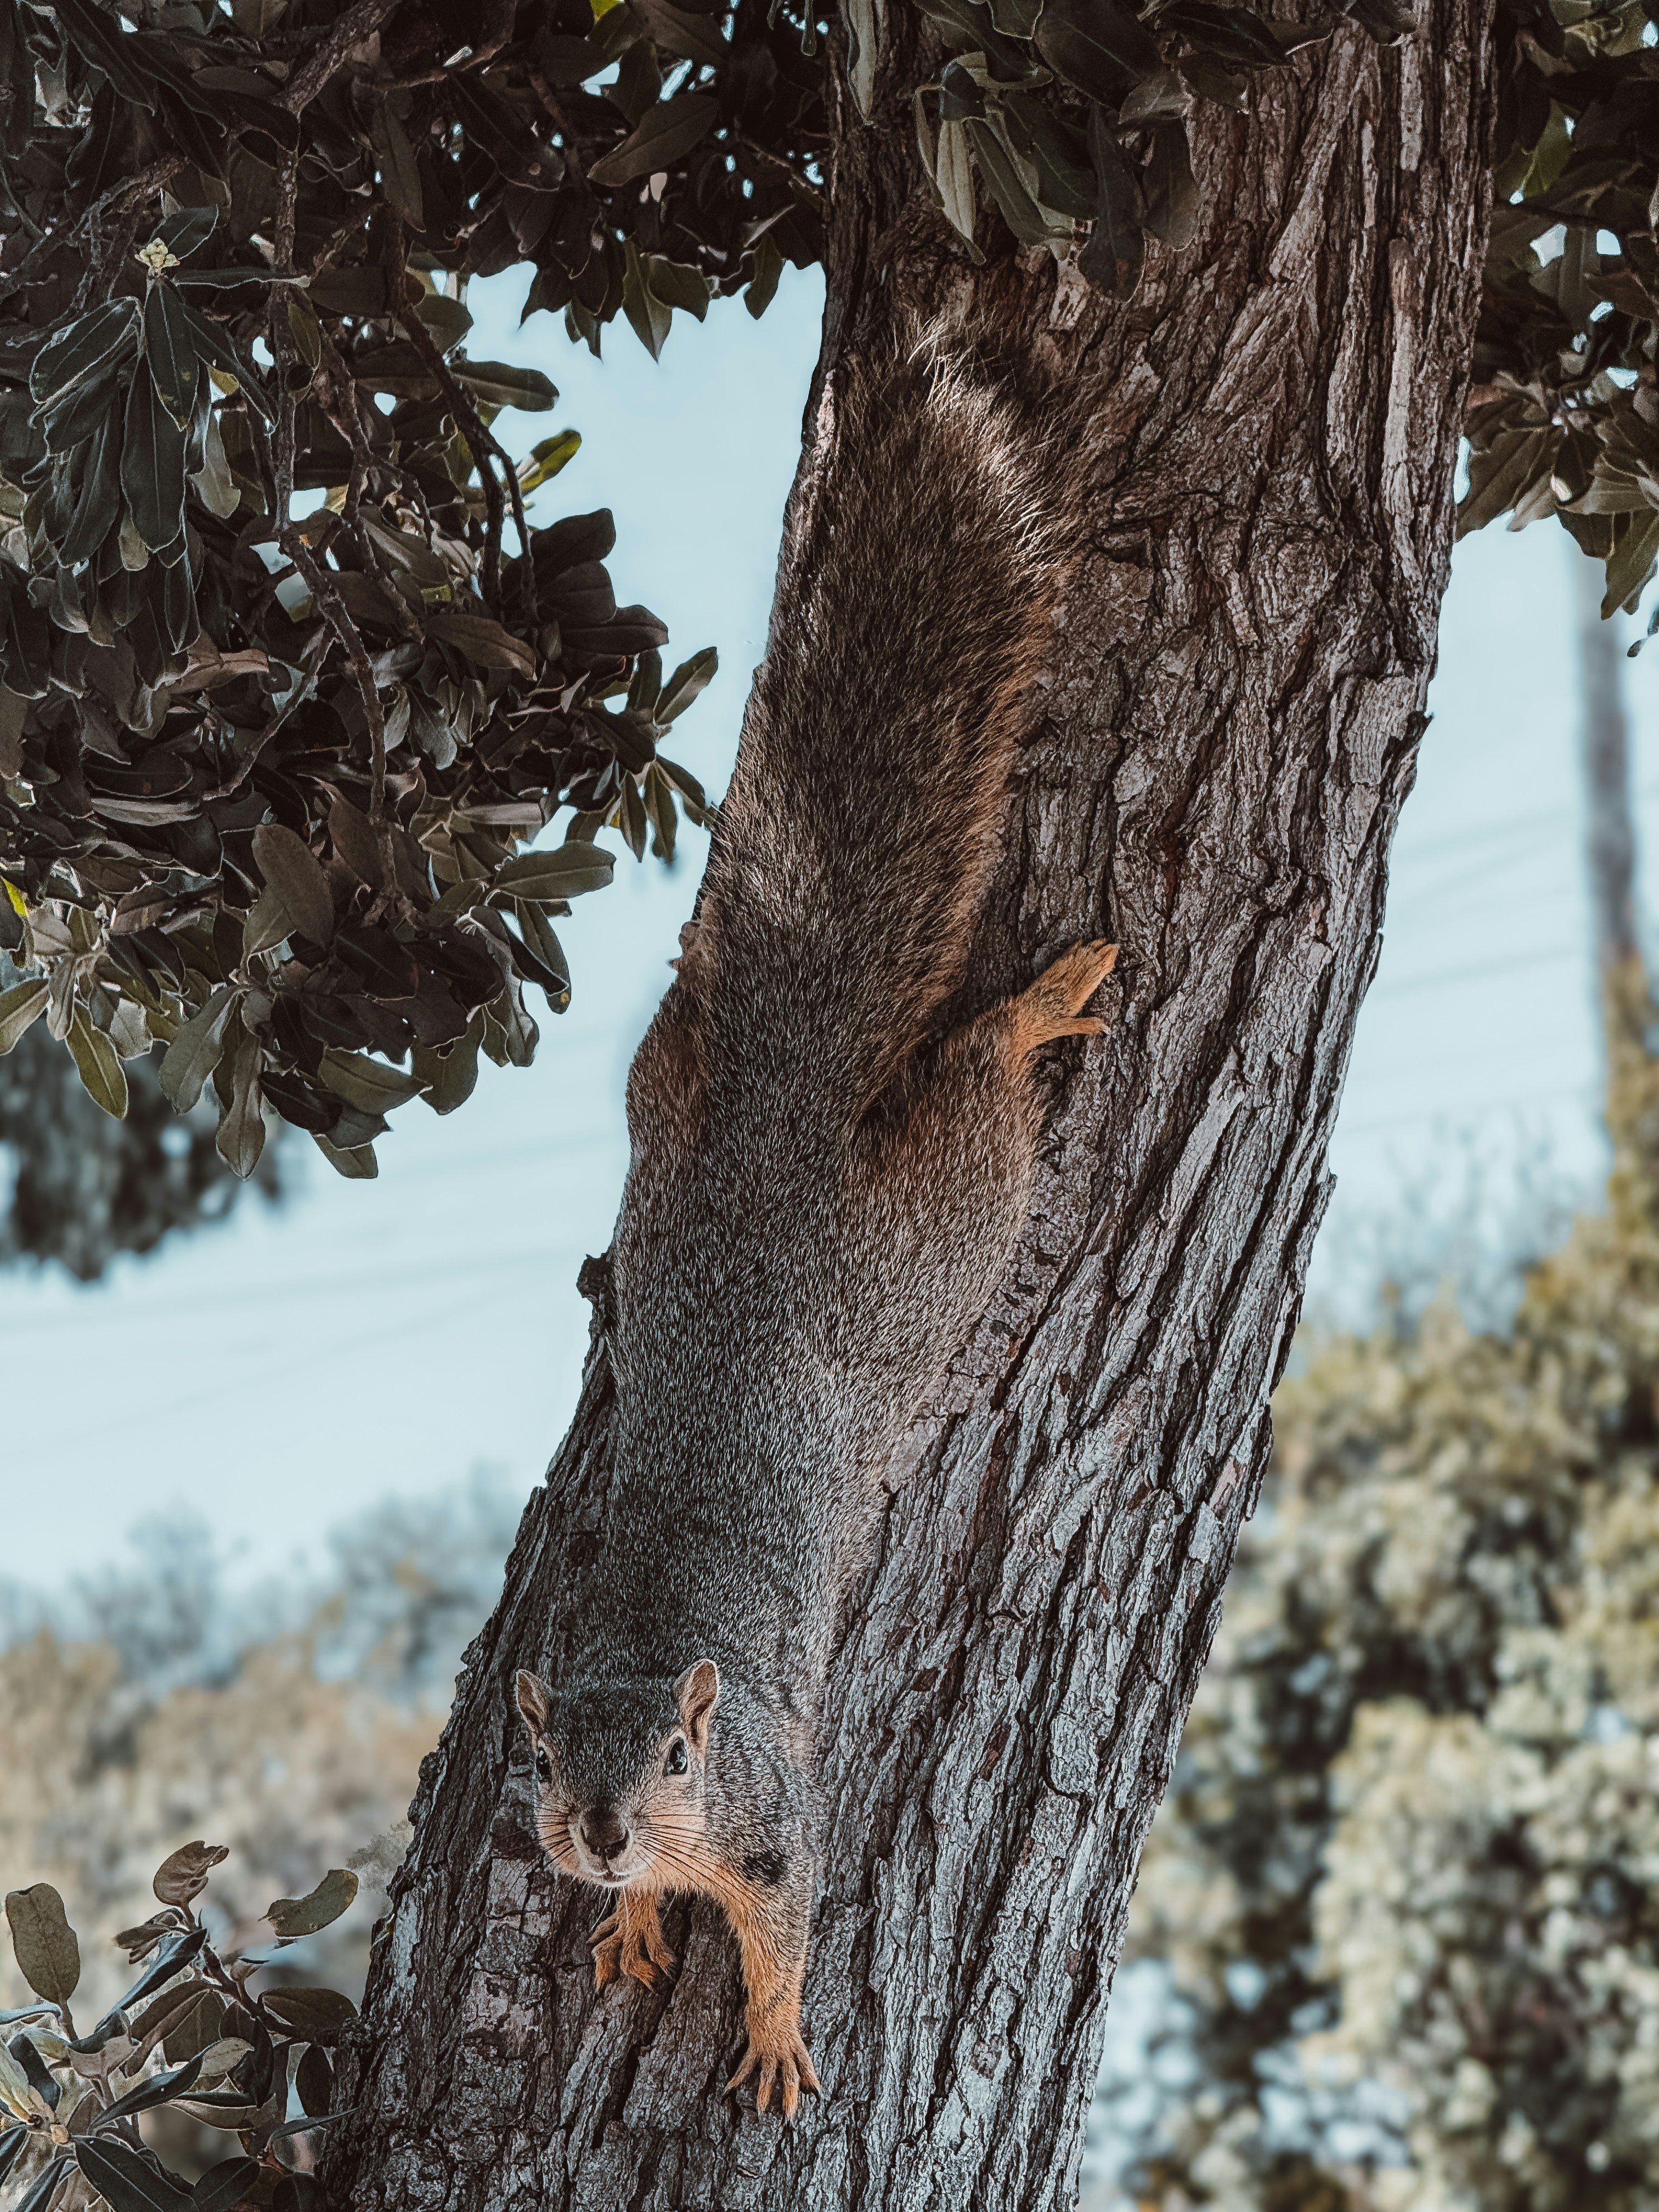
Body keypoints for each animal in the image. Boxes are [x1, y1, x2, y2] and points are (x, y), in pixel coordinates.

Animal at [514, 336, 1117, 2120]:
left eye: (680, 1754)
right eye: (541, 1753)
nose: (600, 1838)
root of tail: (779, 1137)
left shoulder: (781, 1822)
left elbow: (788, 1933)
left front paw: (774, 2036)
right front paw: (631, 1930)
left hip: (940, 1234)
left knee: (982, 1089)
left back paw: (1038, 1009)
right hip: (667, 1109)